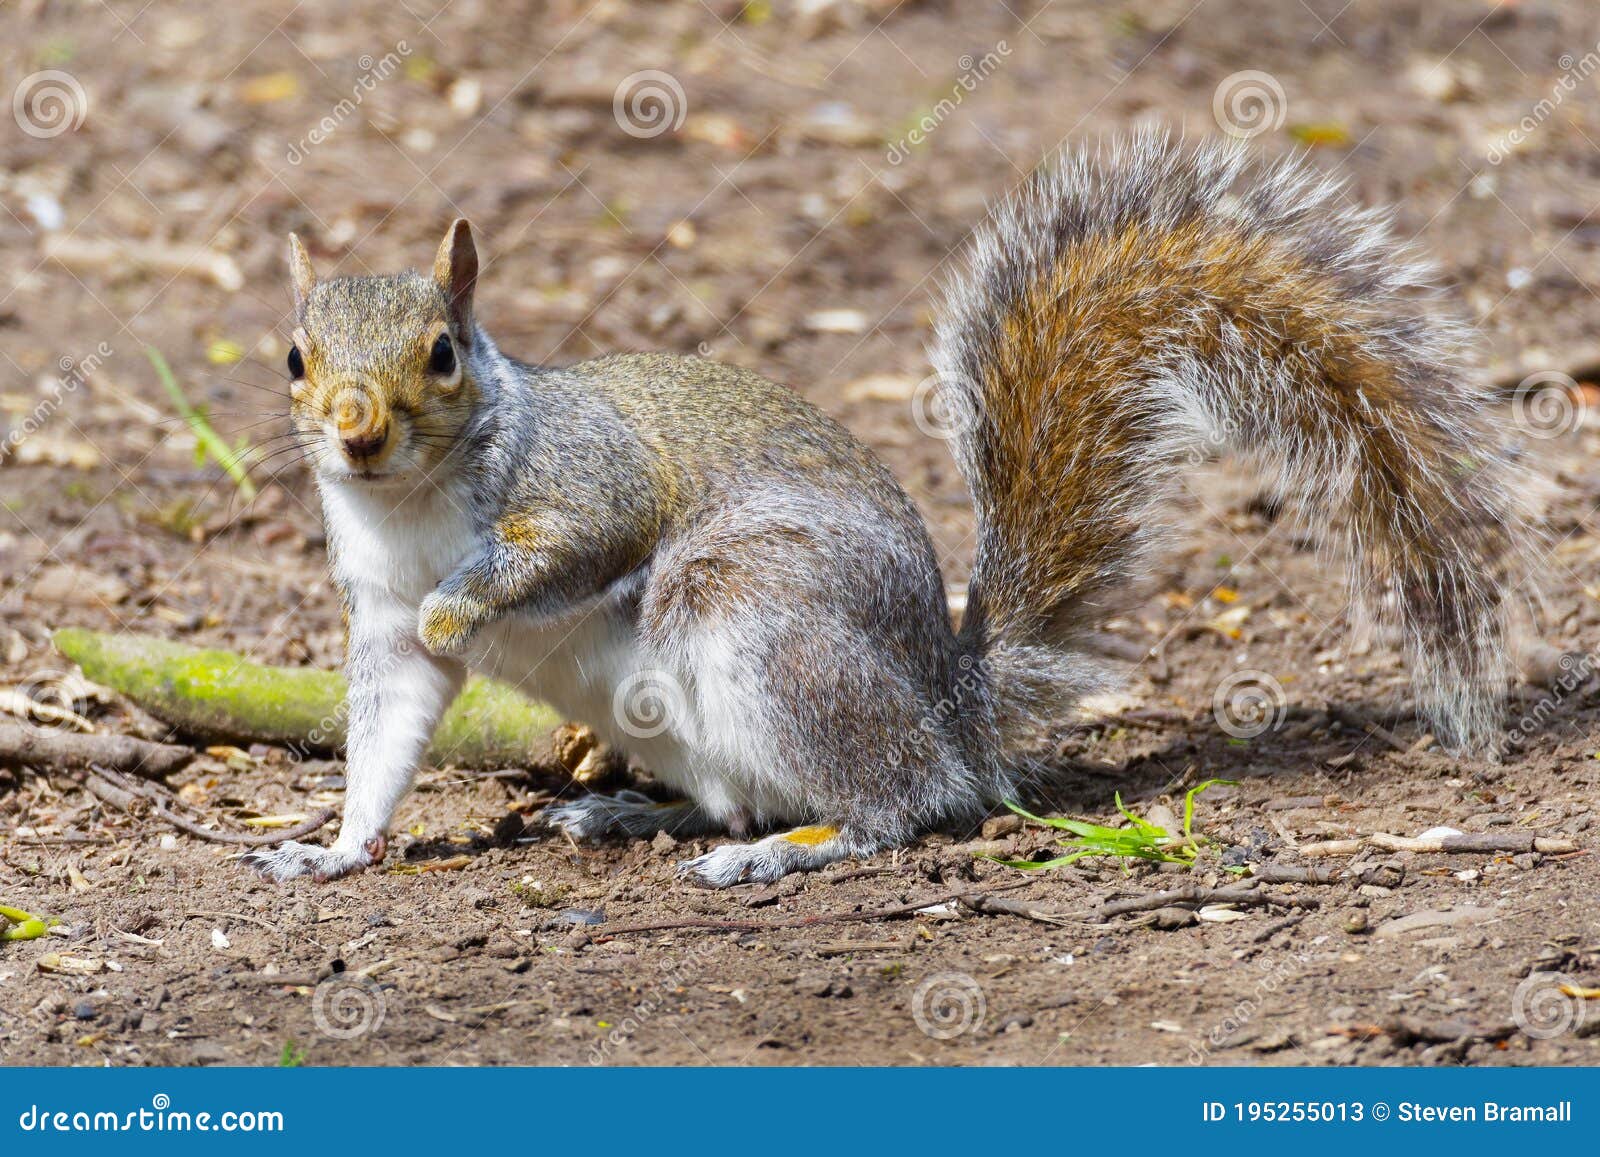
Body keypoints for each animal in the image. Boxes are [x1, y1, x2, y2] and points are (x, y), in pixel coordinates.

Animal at [250, 133, 1519, 887]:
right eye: (295, 357)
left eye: (444, 354)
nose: (356, 431)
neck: (411, 501)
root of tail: (952, 698)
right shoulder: (375, 616)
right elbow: (387, 732)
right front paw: (338, 849)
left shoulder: (588, 484)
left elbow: (570, 549)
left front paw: (464, 605)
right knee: (740, 797)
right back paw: (628, 818)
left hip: (759, 621)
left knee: (907, 798)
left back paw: (799, 844)